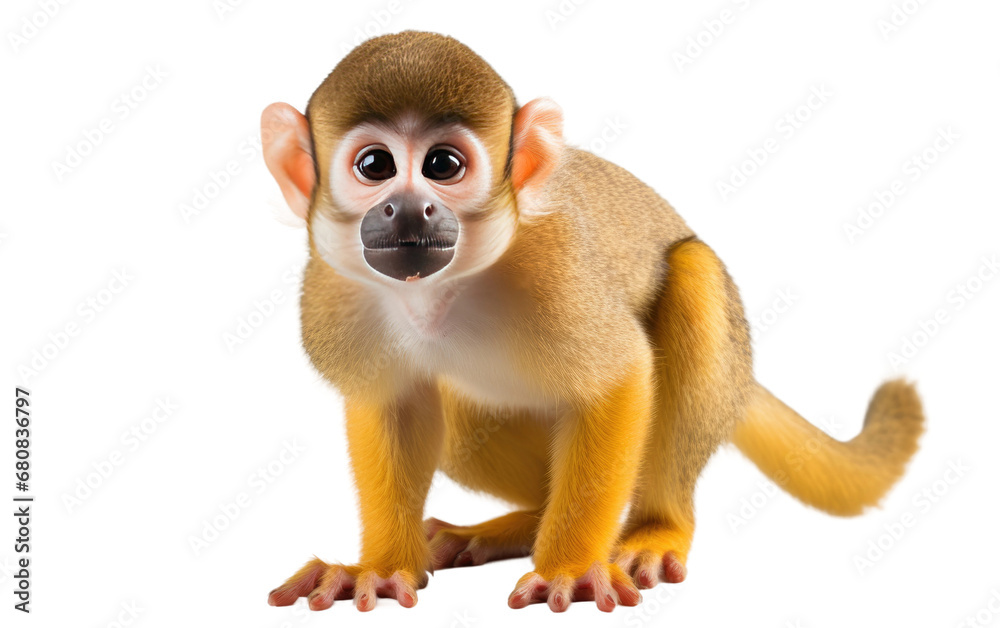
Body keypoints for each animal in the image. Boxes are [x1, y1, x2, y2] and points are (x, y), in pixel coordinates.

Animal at [260, 31, 925, 613]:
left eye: (443, 165)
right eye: (375, 165)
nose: (407, 209)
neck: (439, 292)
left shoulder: (554, 275)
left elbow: (619, 380)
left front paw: (571, 570)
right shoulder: (331, 295)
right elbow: (395, 407)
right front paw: (381, 569)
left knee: (694, 278)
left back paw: (655, 527)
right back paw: (520, 524)